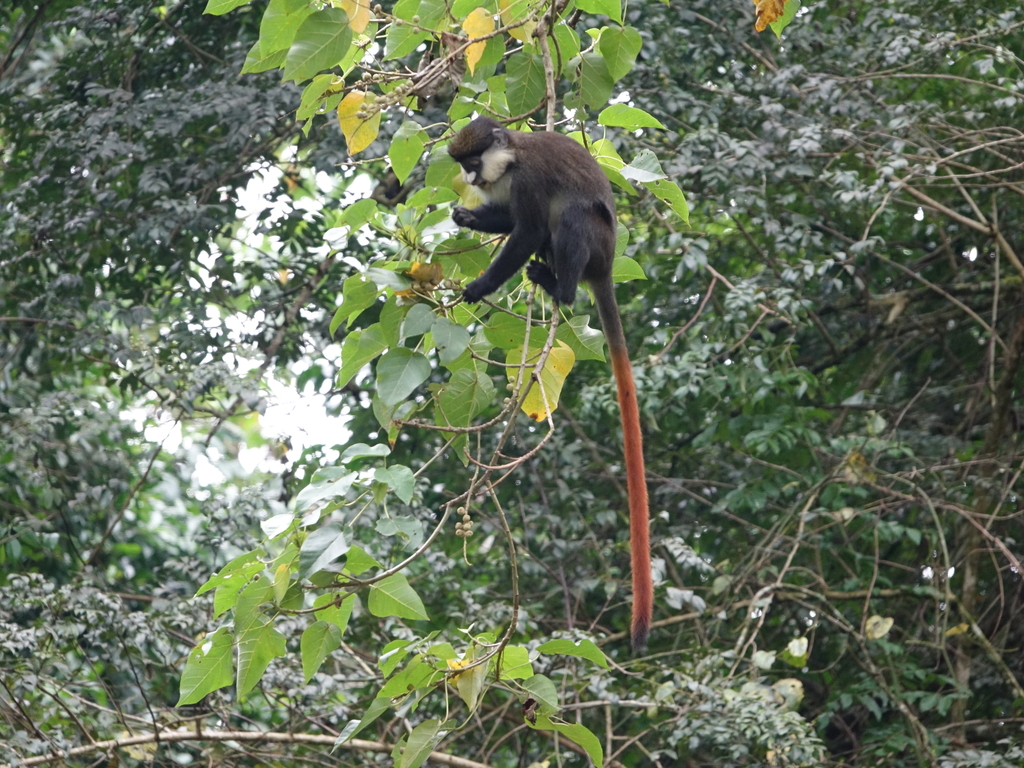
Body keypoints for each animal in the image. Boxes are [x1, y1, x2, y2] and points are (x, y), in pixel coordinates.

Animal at [447, 116, 652, 652]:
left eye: (471, 161)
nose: (470, 179)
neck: (509, 161)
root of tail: (605, 267)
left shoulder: (530, 180)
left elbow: (530, 228)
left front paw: (479, 286)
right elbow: (509, 220)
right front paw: (469, 217)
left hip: (592, 243)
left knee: (570, 219)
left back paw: (560, 287)